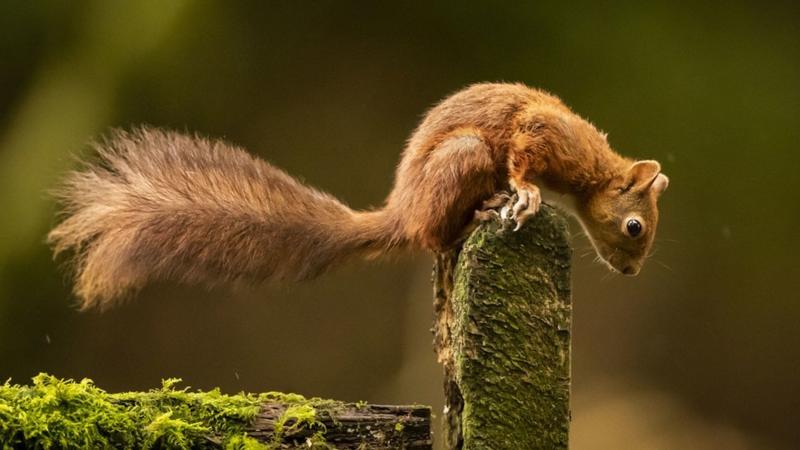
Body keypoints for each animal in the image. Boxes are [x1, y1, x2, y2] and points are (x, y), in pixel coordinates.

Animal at [48, 82, 668, 310]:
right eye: (635, 226)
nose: (632, 273)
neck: (592, 171)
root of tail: (400, 211)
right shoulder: (541, 134)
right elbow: (522, 158)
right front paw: (525, 194)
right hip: (464, 156)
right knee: (434, 236)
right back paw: (482, 210)